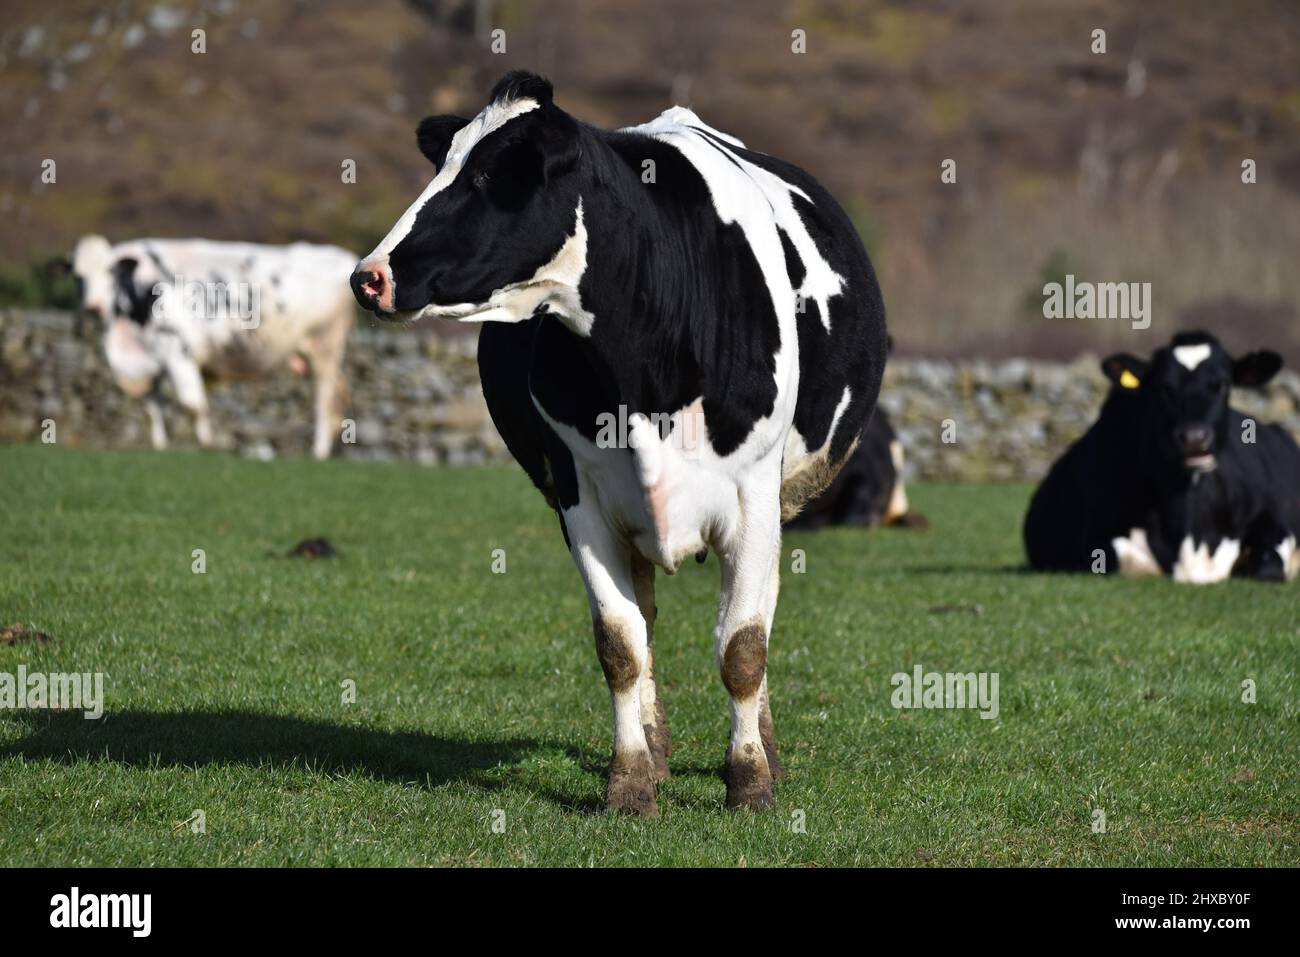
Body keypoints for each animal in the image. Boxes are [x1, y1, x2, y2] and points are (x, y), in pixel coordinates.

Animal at [69, 234, 357, 459]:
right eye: (78, 277)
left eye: (110, 272)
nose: (92, 307)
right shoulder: (152, 363)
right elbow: (152, 407)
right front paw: (160, 446)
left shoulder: (178, 351)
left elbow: (192, 405)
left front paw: (207, 445)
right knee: (339, 396)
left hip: (325, 347)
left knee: (325, 400)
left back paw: (317, 451)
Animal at [351, 72, 887, 813]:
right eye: (444, 166)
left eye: (489, 175)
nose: (368, 276)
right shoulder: (582, 496)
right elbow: (621, 643)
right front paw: (630, 781)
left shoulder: (752, 496)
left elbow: (743, 646)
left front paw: (749, 781)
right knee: (649, 616)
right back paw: (659, 752)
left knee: (759, 611)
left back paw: (768, 752)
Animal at [1024, 331, 1300, 583]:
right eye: (1163, 388)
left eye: (1222, 384)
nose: (1194, 438)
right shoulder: (1098, 539)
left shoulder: (1273, 516)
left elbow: (1270, 566)